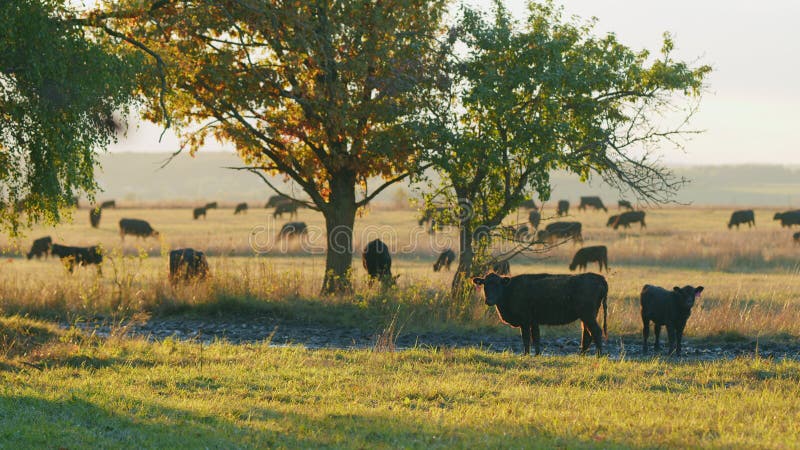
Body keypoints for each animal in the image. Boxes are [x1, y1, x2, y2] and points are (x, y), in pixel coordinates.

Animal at [472, 273, 608, 356]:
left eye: (498, 285)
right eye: (485, 285)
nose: (489, 300)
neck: (510, 289)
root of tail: (600, 278)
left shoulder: (525, 321)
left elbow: (526, 338)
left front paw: (526, 354)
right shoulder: (534, 321)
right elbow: (536, 338)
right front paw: (537, 354)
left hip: (588, 316)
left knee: (596, 332)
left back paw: (599, 355)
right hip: (586, 317)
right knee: (587, 334)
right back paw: (581, 355)